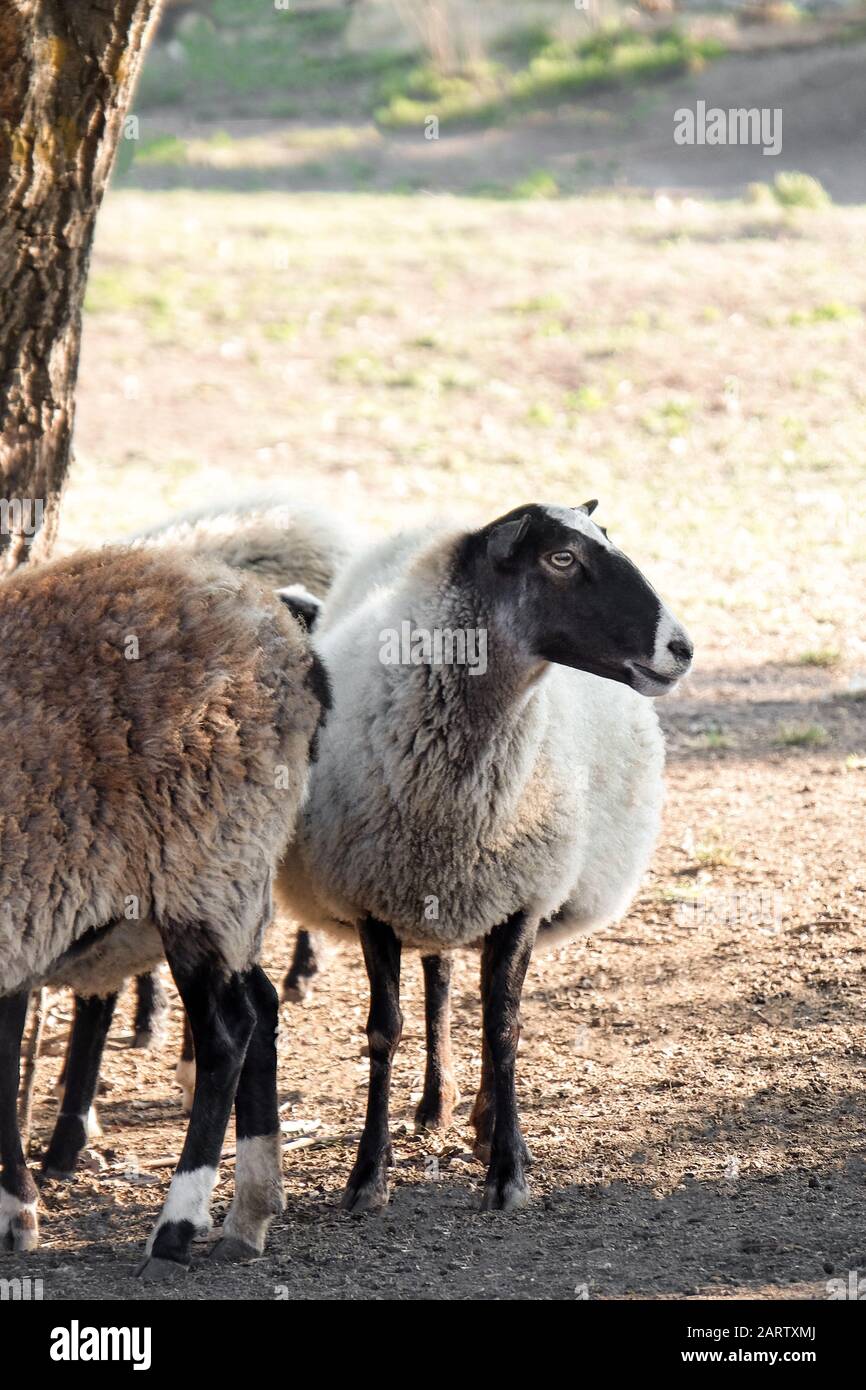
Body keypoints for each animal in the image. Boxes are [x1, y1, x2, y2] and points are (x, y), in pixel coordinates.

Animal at [0, 545, 327, 1275]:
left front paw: (16, 1211)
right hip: (228, 883)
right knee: (261, 1008)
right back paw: (250, 1213)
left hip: (204, 868)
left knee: (230, 1031)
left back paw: (177, 1227)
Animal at [277, 501, 693, 1212]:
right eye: (561, 558)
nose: (682, 648)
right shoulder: (372, 899)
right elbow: (385, 1029)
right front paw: (368, 1176)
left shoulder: (523, 897)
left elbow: (504, 1027)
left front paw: (508, 1168)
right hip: (434, 892)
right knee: (440, 978)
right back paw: (435, 1105)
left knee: (480, 993)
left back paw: (483, 1118)